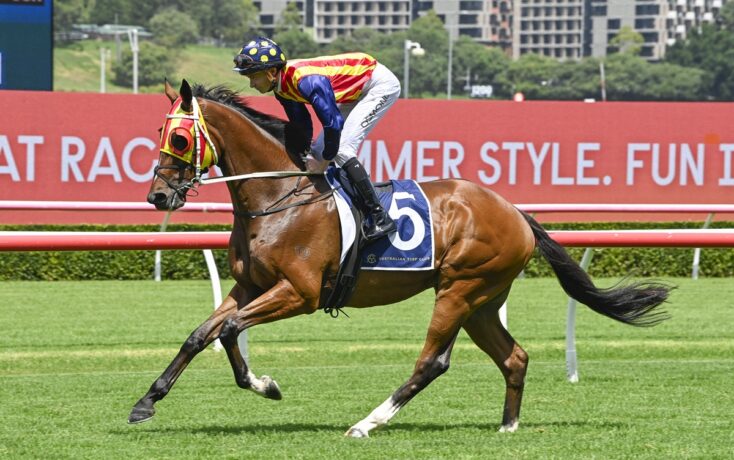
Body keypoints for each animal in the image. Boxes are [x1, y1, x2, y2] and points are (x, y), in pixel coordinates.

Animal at [132, 79, 671, 437]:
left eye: (179, 138)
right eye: (159, 131)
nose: (158, 197)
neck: (278, 197)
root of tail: (516, 213)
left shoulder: (299, 293)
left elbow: (227, 331)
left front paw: (265, 384)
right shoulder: (251, 286)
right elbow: (200, 334)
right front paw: (146, 402)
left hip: (460, 288)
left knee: (432, 361)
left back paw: (367, 423)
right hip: (482, 299)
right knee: (513, 357)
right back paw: (508, 427)